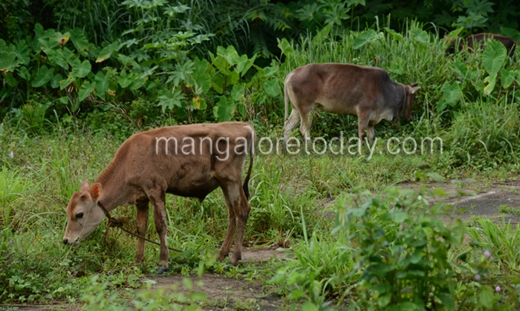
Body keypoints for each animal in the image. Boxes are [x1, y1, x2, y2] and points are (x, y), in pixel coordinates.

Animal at [64, 123, 255, 274]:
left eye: (79, 214)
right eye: (67, 211)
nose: (66, 240)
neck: (127, 162)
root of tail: (245, 126)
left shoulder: (156, 189)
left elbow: (160, 225)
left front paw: (163, 262)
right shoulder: (141, 197)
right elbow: (141, 227)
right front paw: (138, 260)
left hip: (232, 180)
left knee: (241, 211)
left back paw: (234, 258)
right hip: (224, 183)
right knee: (232, 214)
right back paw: (221, 255)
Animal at [282, 63, 420, 146]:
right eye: (414, 98)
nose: (411, 117)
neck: (386, 90)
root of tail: (291, 74)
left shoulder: (372, 119)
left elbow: (372, 136)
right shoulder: (364, 112)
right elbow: (362, 133)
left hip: (296, 108)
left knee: (288, 126)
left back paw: (285, 147)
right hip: (307, 108)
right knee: (304, 129)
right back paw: (311, 148)